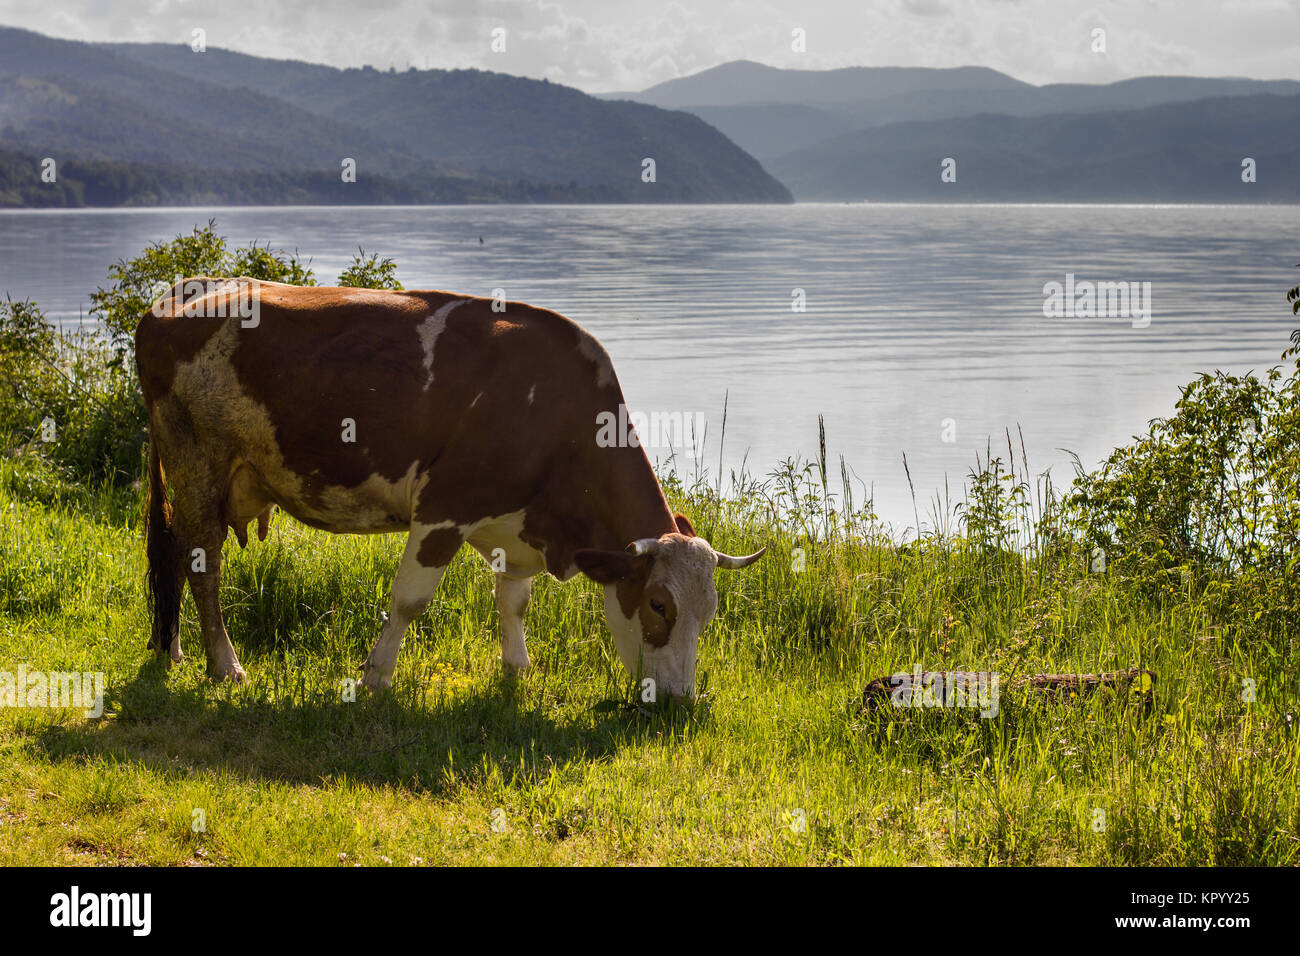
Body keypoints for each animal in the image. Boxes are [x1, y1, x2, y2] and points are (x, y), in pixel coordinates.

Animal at [135, 278, 764, 702]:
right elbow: (409, 600)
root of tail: (188, 290)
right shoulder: (445, 508)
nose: (680, 701)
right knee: (203, 563)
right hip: (198, 463)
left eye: (710, 612)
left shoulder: (515, 524)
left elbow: (514, 600)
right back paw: (225, 665)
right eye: (658, 604)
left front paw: (517, 669)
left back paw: (173, 649)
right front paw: (375, 678)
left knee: (172, 551)